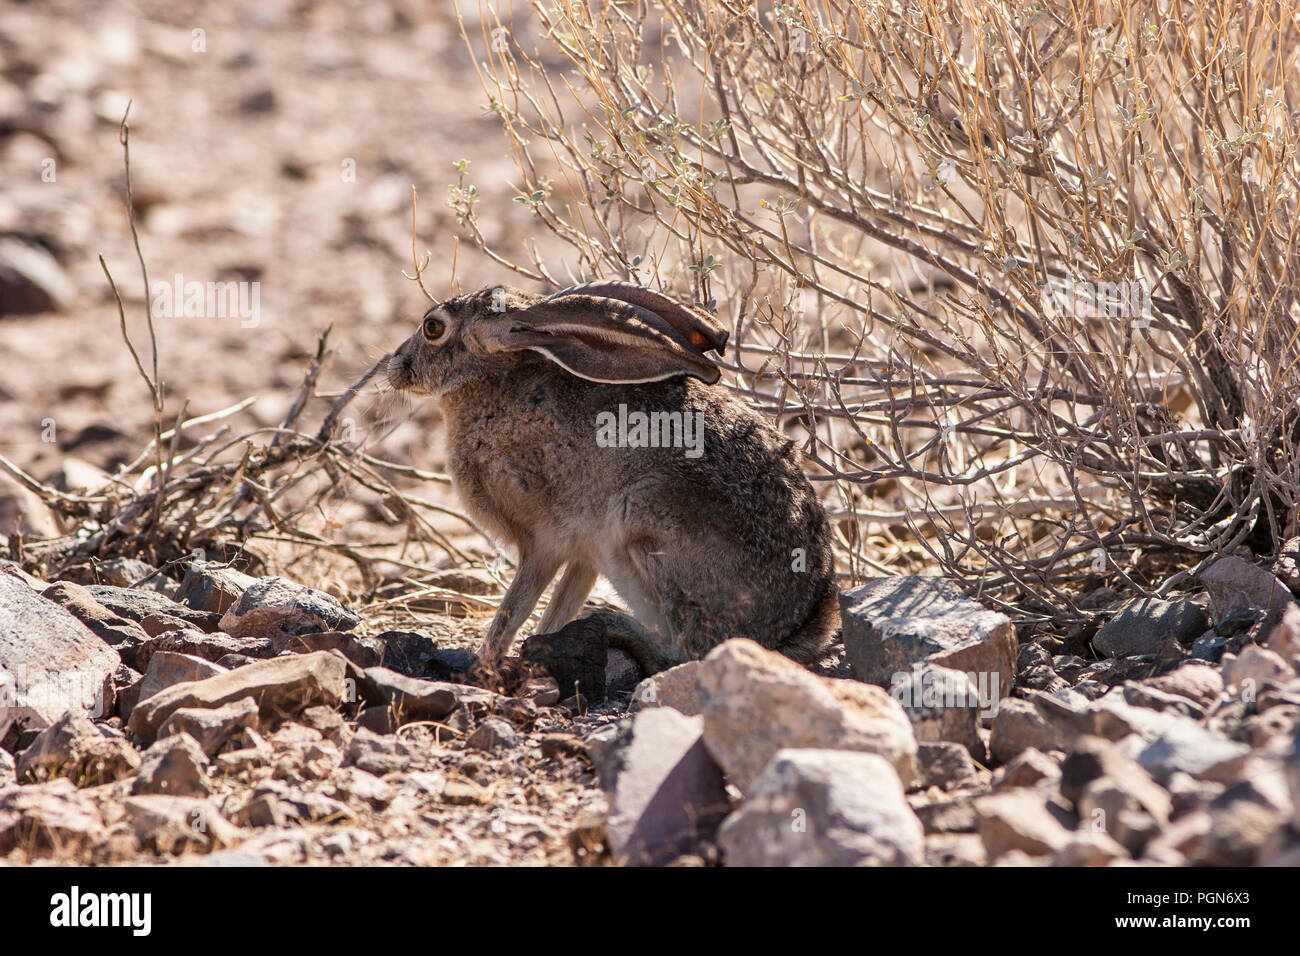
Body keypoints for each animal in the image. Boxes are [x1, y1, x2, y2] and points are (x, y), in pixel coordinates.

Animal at [386, 280, 840, 669]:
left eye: (432, 327)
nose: (395, 365)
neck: (490, 379)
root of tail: (794, 628)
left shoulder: (542, 542)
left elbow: (513, 610)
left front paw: (485, 664)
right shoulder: (586, 554)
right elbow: (558, 604)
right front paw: (540, 642)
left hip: (644, 513)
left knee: (688, 651)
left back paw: (612, 624)